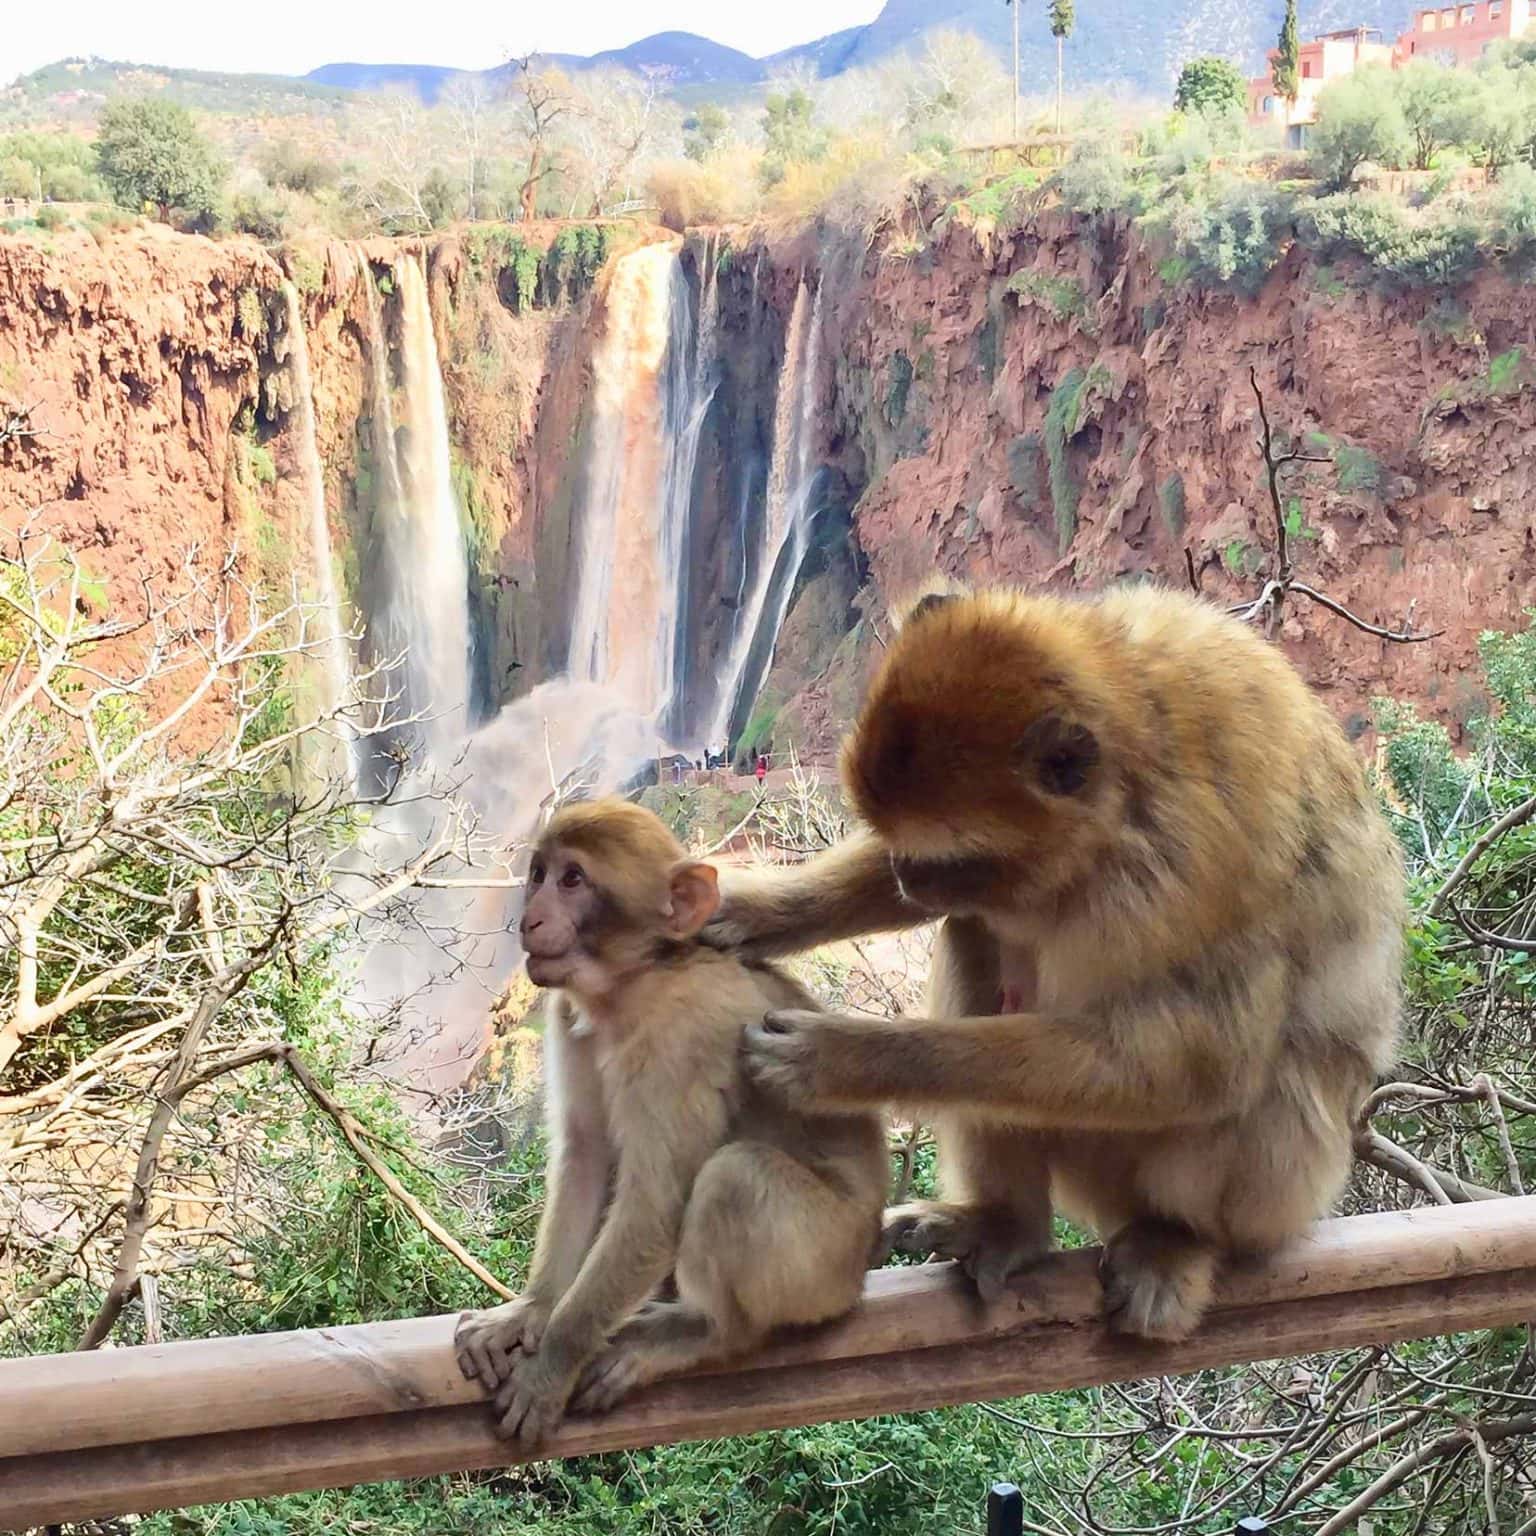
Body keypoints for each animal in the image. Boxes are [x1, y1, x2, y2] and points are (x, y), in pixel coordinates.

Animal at [453, 798, 888, 1446]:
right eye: (538, 873)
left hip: (825, 1265)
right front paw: (529, 1311)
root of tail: (860, 1270)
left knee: (737, 1176)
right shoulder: (567, 1015)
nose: (529, 919)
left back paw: (712, 1333)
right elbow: (585, 1156)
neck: (632, 984)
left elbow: (653, 1206)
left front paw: (554, 1360)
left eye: (572, 879)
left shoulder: (683, 1035)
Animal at [707, 583, 1404, 1342]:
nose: (906, 877)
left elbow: (1201, 1062)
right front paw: (751, 910)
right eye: (899, 846)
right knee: (973, 938)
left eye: (953, 860)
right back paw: (1009, 1224)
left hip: (1270, 1192)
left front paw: (844, 1057)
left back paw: (1180, 1237)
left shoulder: (1198, 861)